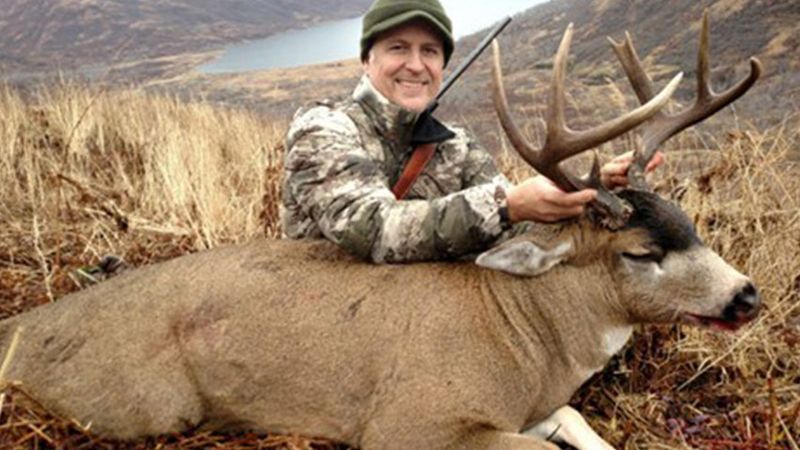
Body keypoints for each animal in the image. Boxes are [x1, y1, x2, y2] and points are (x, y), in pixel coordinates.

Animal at [0, 14, 761, 450]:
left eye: (693, 225)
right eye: (641, 252)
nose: (746, 295)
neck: (527, 342)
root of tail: (18, 329)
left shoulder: (542, 408)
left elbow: (584, 430)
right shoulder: (414, 419)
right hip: (135, 404)